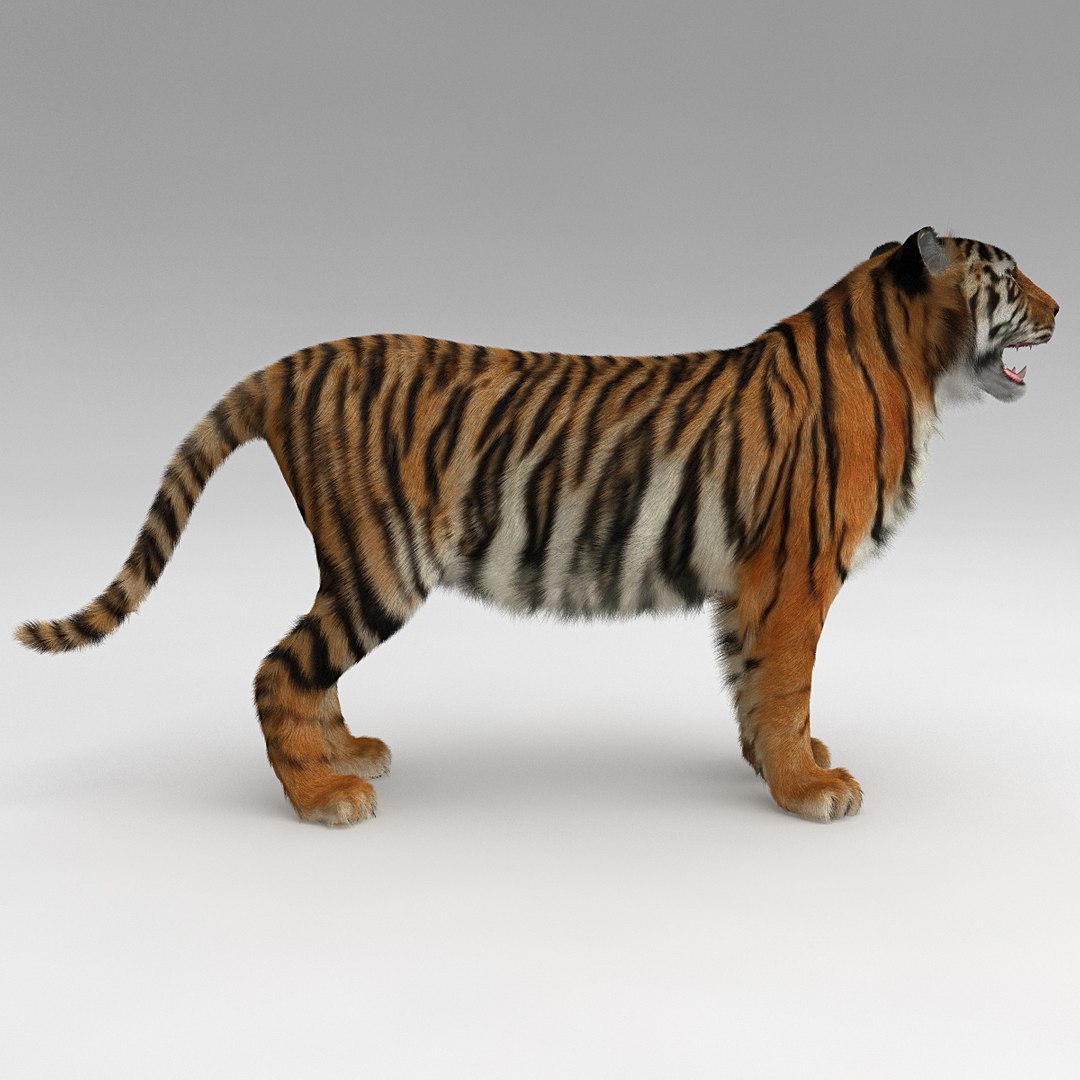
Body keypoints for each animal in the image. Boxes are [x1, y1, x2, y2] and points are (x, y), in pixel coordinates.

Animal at [14, 227, 1058, 825]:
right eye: (1010, 276)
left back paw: (346, 755)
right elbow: (787, 686)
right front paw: (809, 790)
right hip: (383, 564)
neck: (917, 368)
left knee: (308, 669)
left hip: (353, 566)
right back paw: (323, 798)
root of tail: (290, 364)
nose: (1059, 307)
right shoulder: (795, 573)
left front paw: (776, 768)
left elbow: (753, 684)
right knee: (280, 669)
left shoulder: (749, 583)